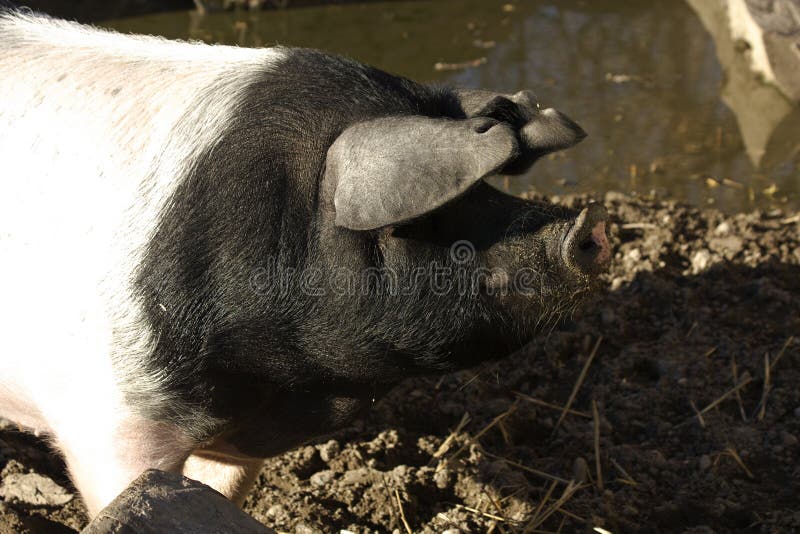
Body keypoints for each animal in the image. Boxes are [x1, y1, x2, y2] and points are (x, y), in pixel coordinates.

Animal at [0, 7, 611, 516]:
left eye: (487, 190)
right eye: (426, 221)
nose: (590, 226)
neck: (288, 379)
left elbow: (223, 489)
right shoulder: (112, 415)